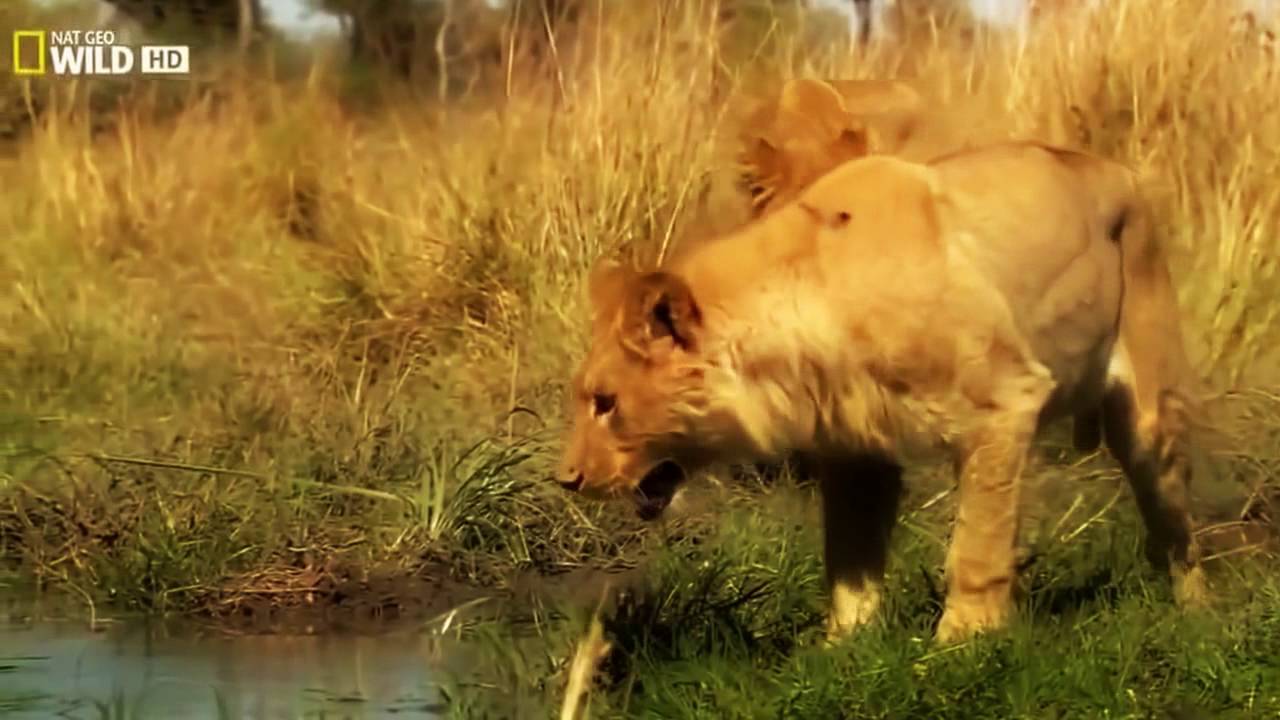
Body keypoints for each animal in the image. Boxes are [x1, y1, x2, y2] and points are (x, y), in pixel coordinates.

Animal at [556, 141, 1208, 644]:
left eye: (606, 403)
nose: (567, 479)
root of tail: (1121, 171)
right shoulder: (854, 447)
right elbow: (850, 556)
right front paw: (843, 647)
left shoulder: (1006, 399)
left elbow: (976, 548)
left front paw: (961, 644)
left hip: (1150, 415)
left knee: (1174, 525)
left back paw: (1195, 615)